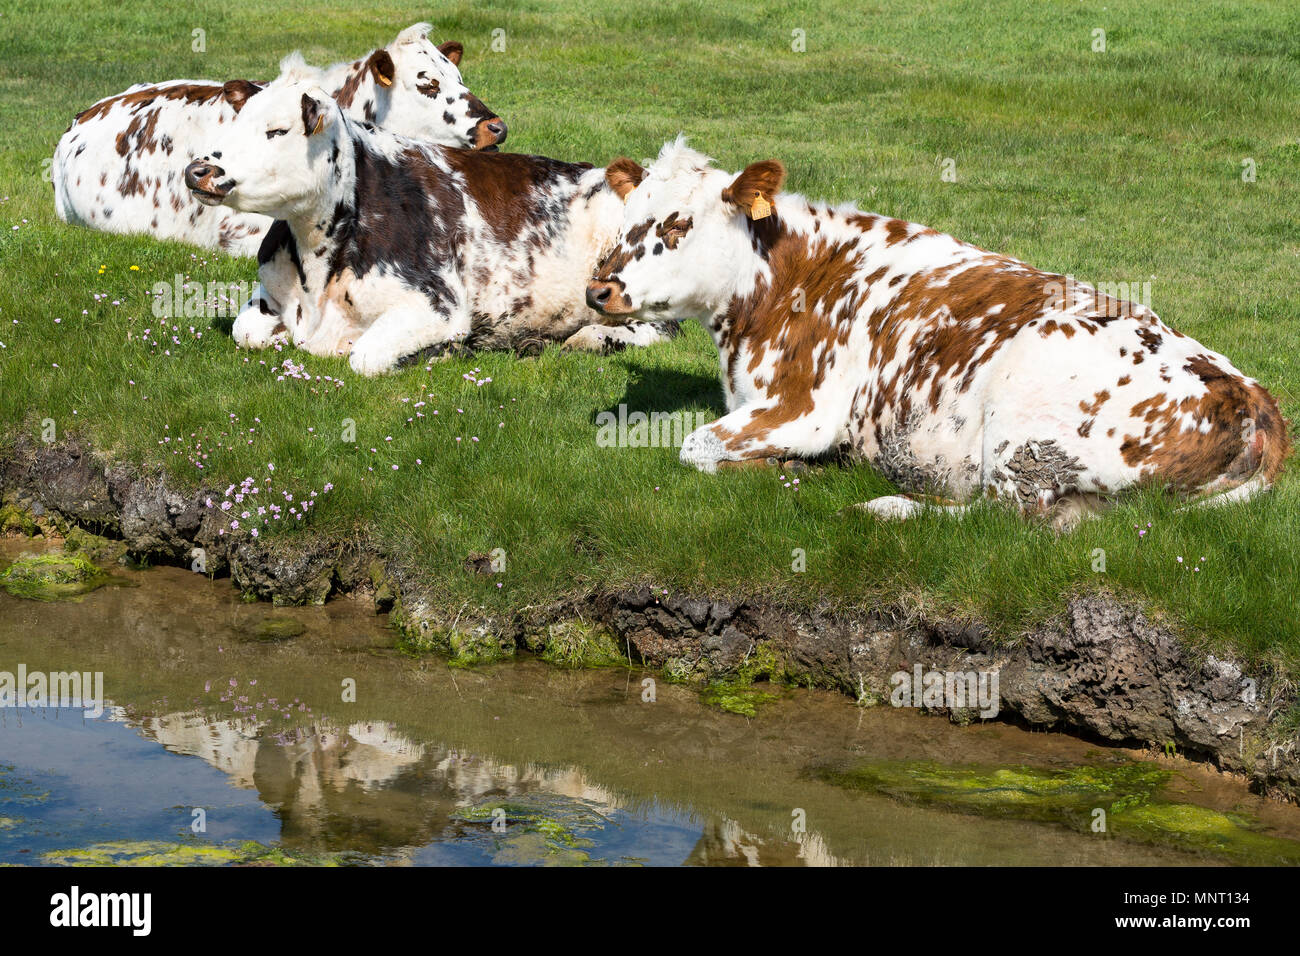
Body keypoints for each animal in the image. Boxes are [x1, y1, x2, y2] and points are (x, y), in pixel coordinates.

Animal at [181, 69, 675, 375]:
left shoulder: (435, 303)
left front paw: (448, 351)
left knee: (658, 327)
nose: (198, 169)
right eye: (234, 124)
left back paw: (589, 338)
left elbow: (365, 356)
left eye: (277, 130)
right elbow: (245, 330)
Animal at [584, 138, 1289, 529]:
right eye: (628, 214)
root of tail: (1251, 394)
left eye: (677, 224)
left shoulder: (804, 406)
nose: (599, 290)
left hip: (1022, 430)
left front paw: (788, 469)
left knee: (1013, 517)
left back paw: (885, 506)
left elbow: (694, 447)